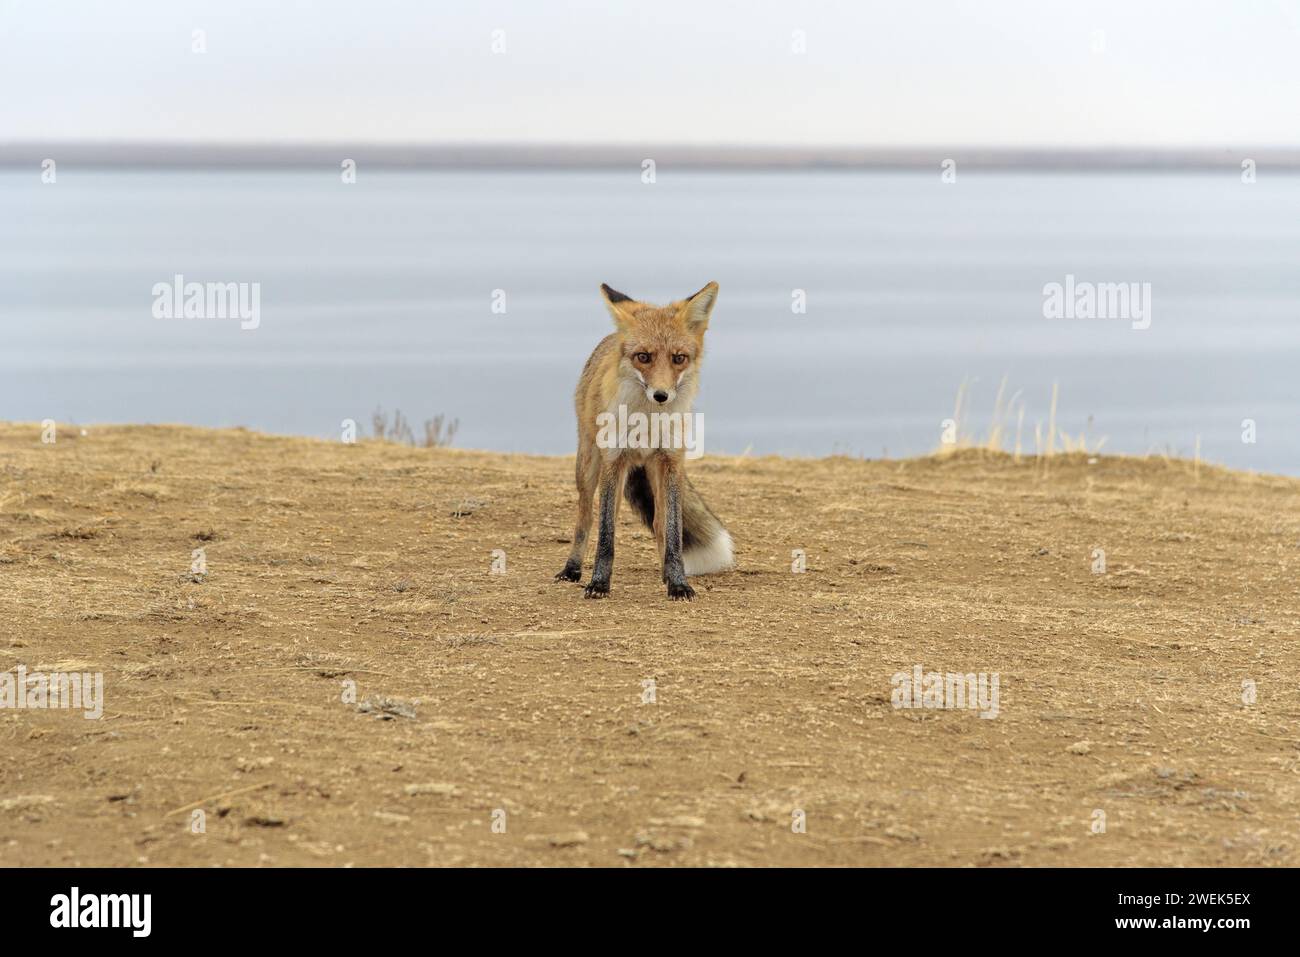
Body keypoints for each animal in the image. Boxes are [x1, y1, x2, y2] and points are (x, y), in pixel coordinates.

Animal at [555, 281, 735, 600]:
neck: (647, 422)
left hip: (655, 471)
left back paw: (665, 574)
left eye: (678, 358)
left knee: (659, 523)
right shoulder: (614, 460)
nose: (661, 395)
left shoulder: (672, 461)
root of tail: (611, 337)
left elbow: (673, 533)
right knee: (586, 518)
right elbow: (606, 534)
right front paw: (599, 583)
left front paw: (678, 583)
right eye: (643, 356)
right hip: (589, 465)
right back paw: (573, 569)